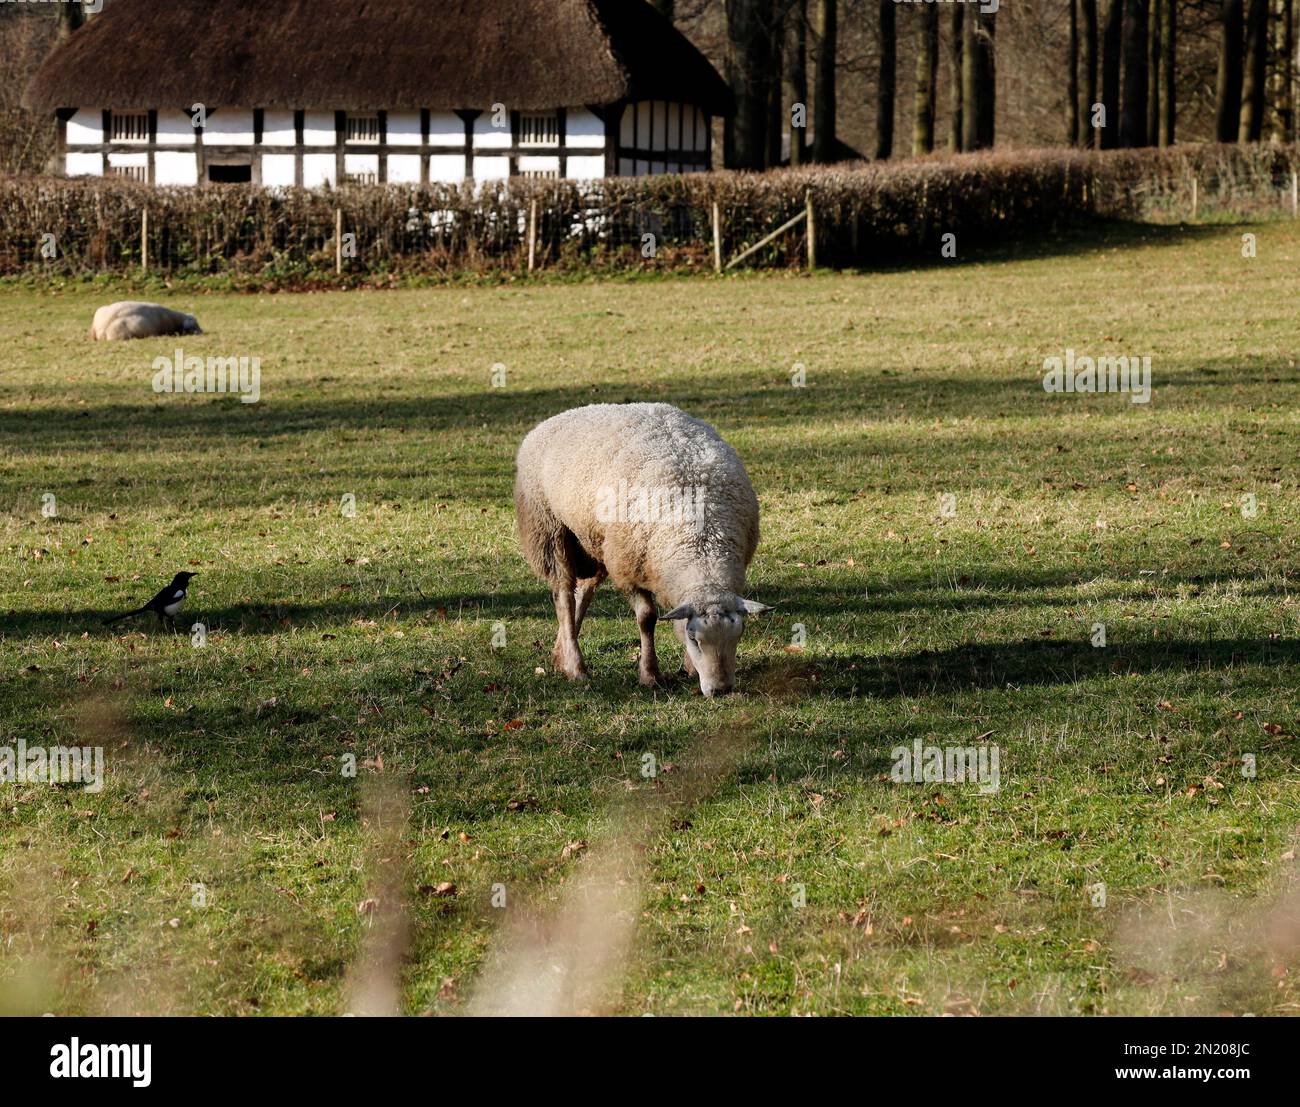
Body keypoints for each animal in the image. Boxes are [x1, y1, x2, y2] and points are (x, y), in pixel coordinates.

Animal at [515, 403, 770, 697]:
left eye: (738, 636)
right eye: (694, 639)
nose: (721, 689)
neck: (700, 540)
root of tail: (555, 419)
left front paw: (689, 668)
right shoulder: (628, 569)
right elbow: (647, 619)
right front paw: (650, 675)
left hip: (593, 541)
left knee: (583, 591)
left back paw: (560, 655)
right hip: (549, 530)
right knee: (565, 597)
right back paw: (576, 667)